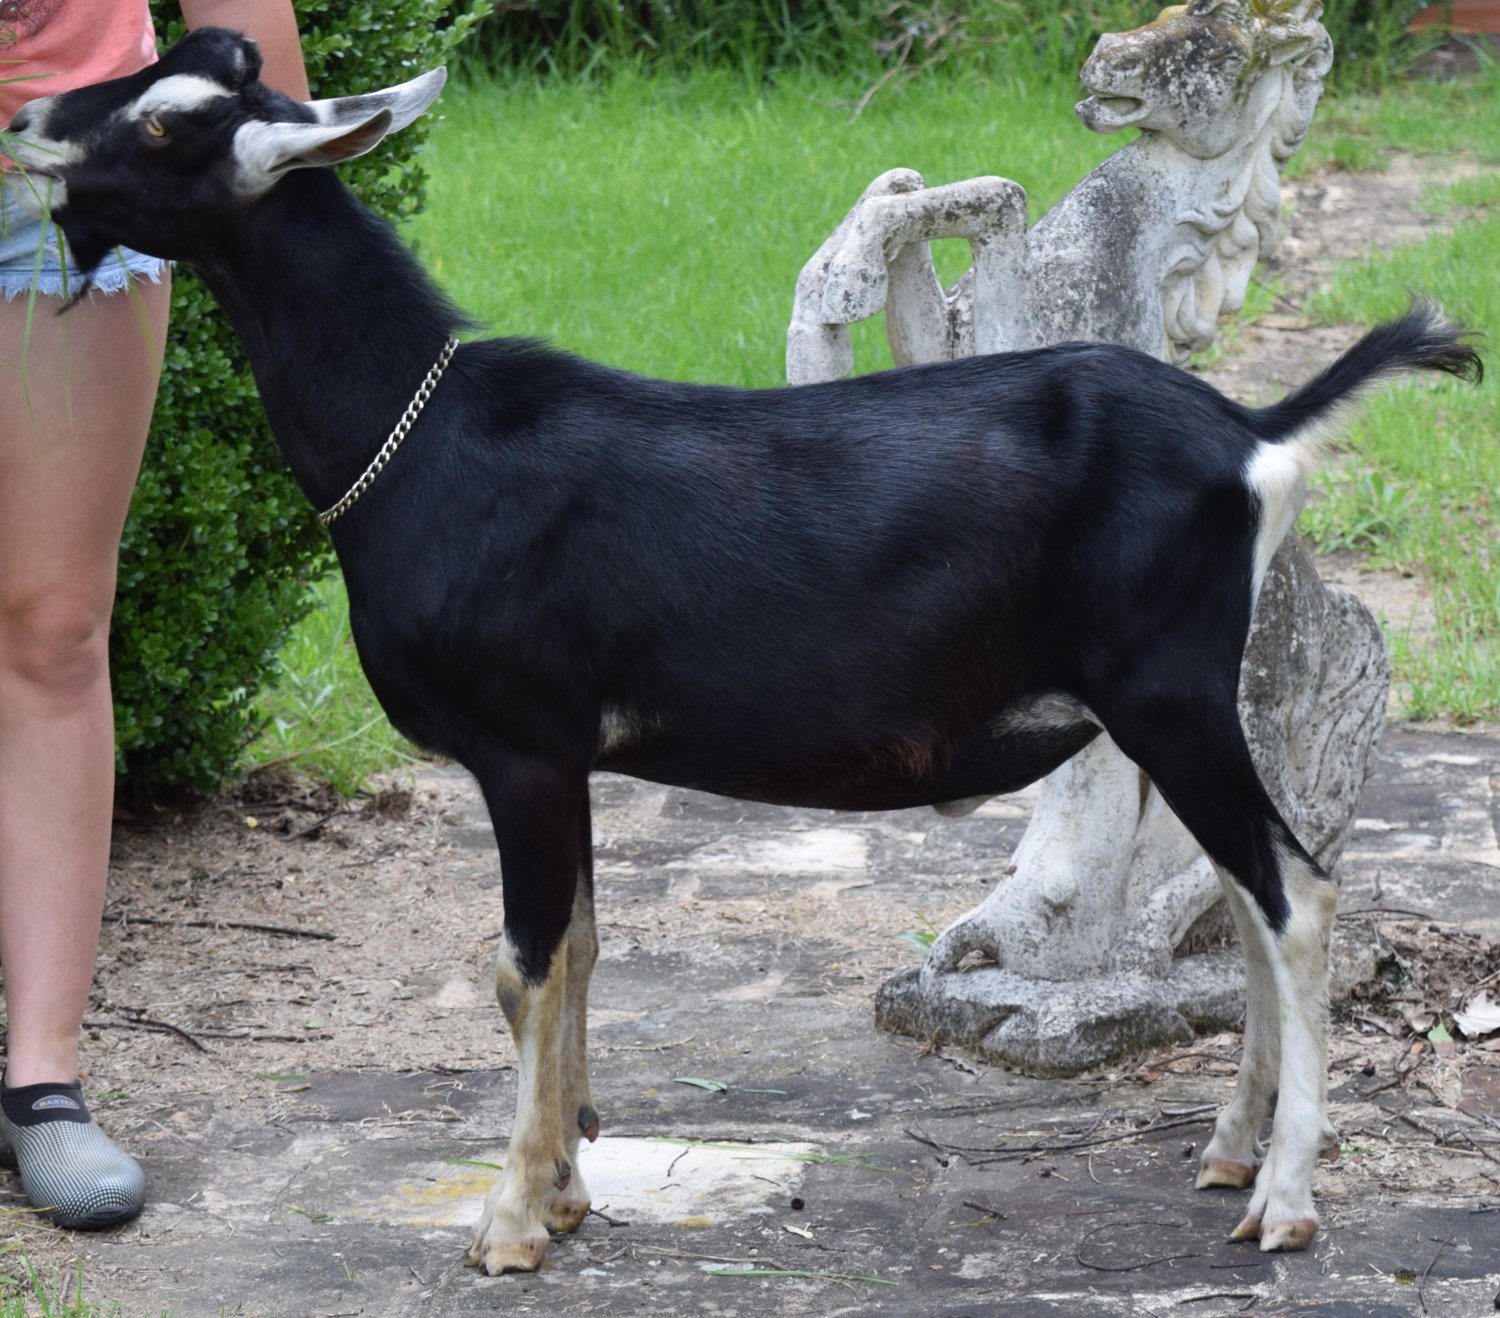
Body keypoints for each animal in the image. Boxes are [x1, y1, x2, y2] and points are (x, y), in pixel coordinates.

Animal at [5, 27, 1481, 1276]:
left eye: (166, 119)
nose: (26, 118)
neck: (425, 440)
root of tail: (1253, 434)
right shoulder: (567, 759)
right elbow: (578, 947)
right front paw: (565, 1187)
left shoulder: (521, 744)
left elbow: (523, 964)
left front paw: (507, 1224)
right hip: (1176, 703)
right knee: (1246, 889)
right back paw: (1230, 1150)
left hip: (1168, 687)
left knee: (1294, 893)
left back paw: (1284, 1200)